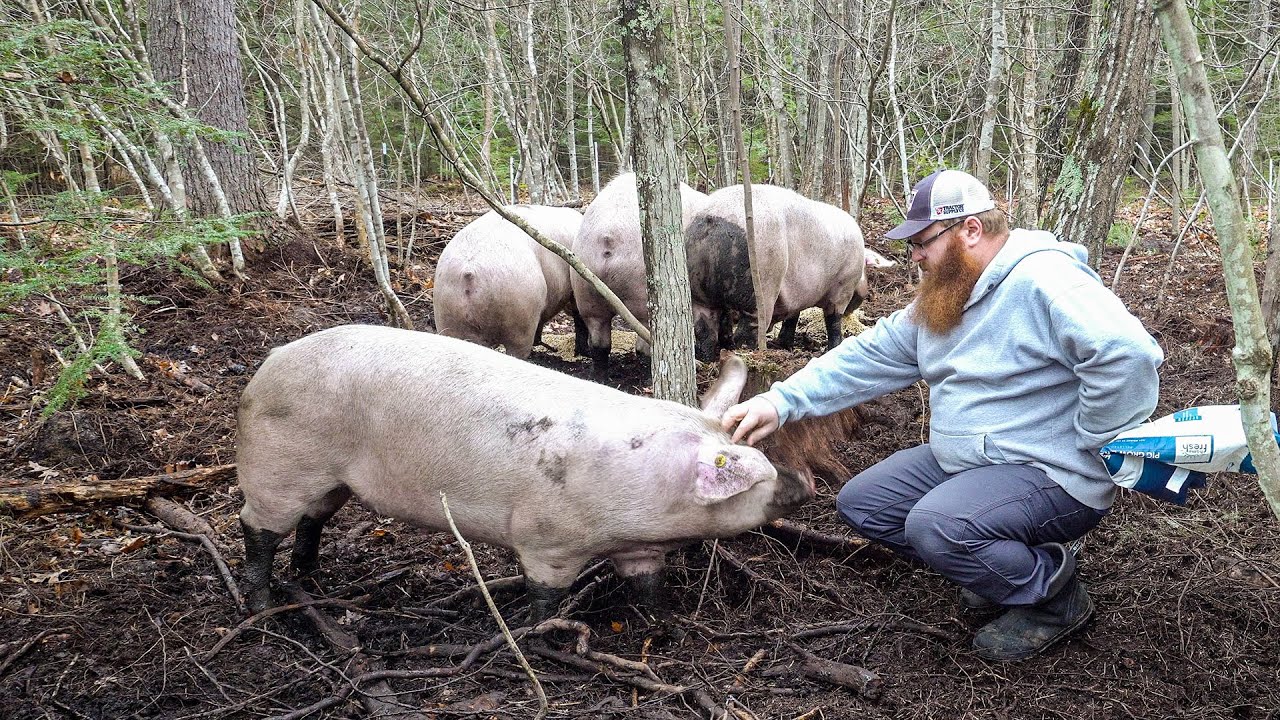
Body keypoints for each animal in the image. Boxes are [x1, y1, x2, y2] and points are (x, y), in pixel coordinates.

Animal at [236, 325, 814, 621]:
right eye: (759, 471)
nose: (805, 483)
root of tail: (269, 361)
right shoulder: (546, 538)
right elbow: (546, 594)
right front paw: (537, 633)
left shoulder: (639, 549)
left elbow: (648, 587)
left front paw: (662, 626)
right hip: (276, 463)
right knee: (256, 526)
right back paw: (260, 603)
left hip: (330, 479)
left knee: (313, 518)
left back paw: (306, 575)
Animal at [684, 185, 868, 361]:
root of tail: (711, 219)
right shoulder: (843, 287)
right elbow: (833, 322)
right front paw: (834, 347)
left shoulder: (796, 296)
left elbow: (792, 318)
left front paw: (785, 345)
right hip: (762, 283)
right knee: (748, 330)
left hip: (699, 293)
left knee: (704, 331)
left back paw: (707, 359)